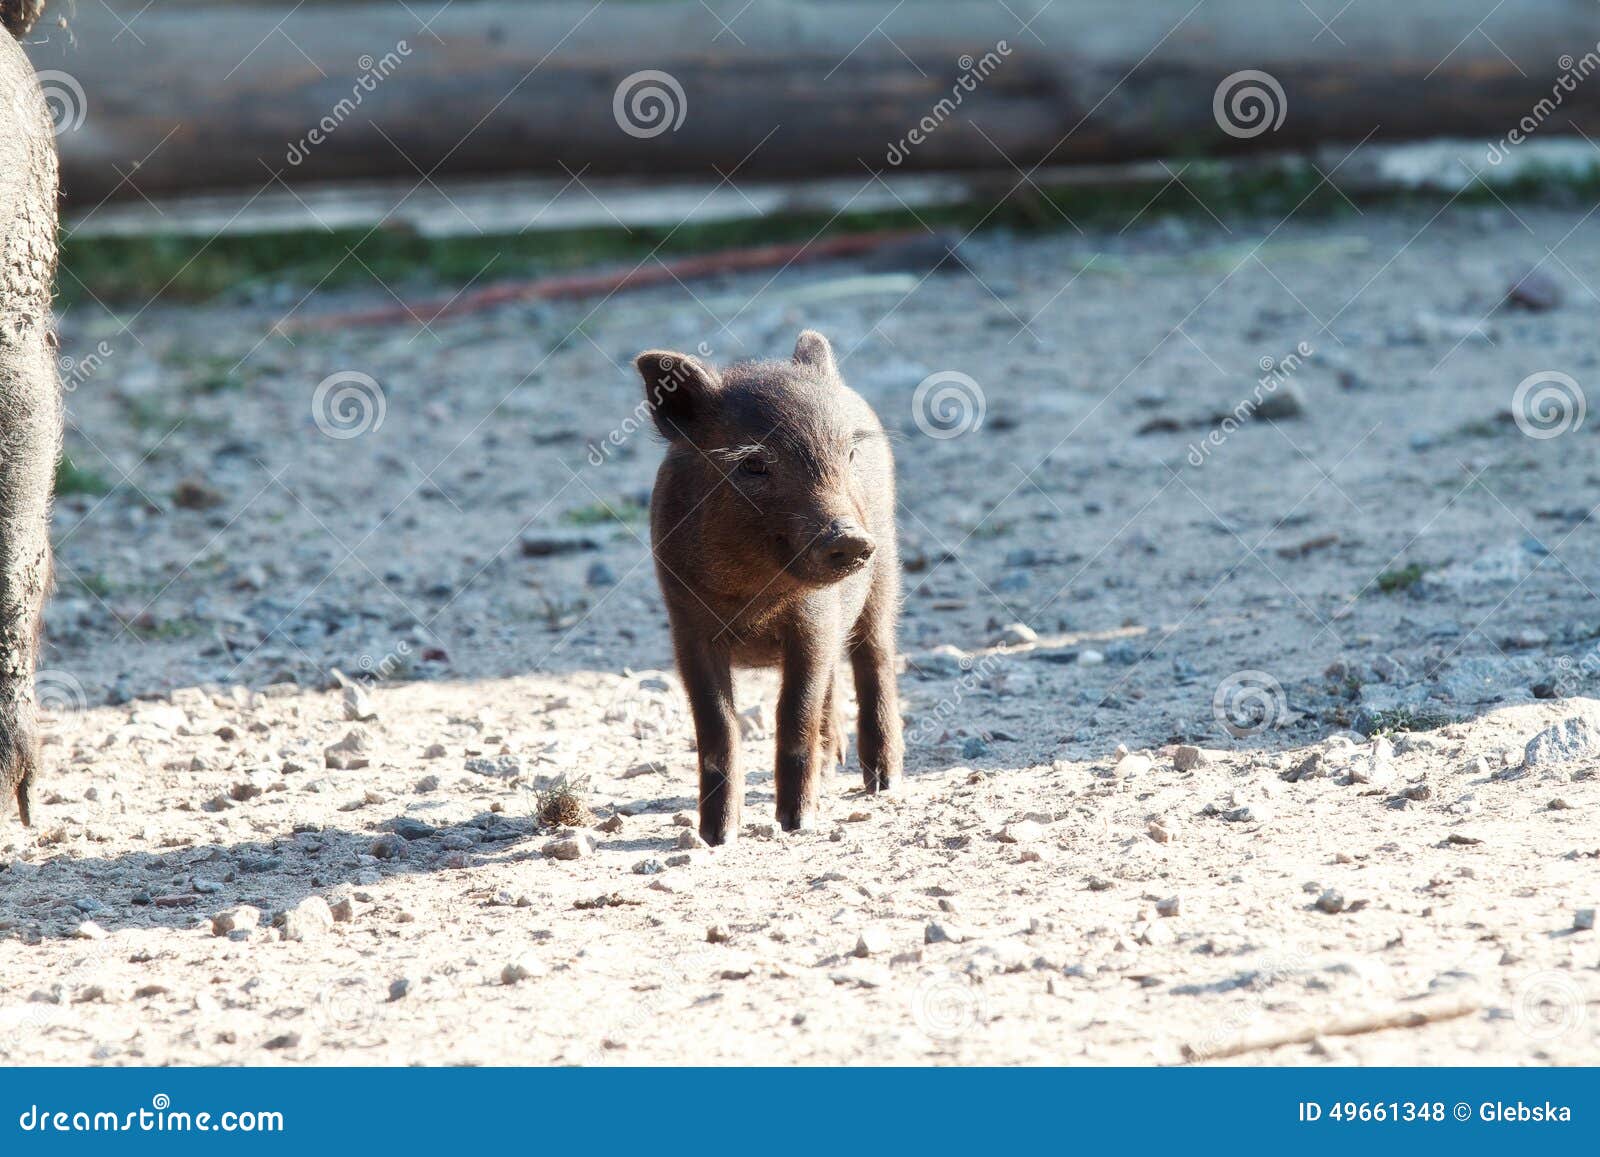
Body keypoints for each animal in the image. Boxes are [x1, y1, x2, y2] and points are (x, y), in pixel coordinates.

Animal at [637, 331, 903, 845]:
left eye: (847, 455)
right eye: (755, 464)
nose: (848, 539)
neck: (752, 595)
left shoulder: (814, 620)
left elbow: (794, 713)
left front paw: (796, 824)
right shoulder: (688, 629)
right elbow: (717, 726)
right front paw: (716, 837)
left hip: (884, 574)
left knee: (874, 657)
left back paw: (882, 782)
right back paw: (833, 766)